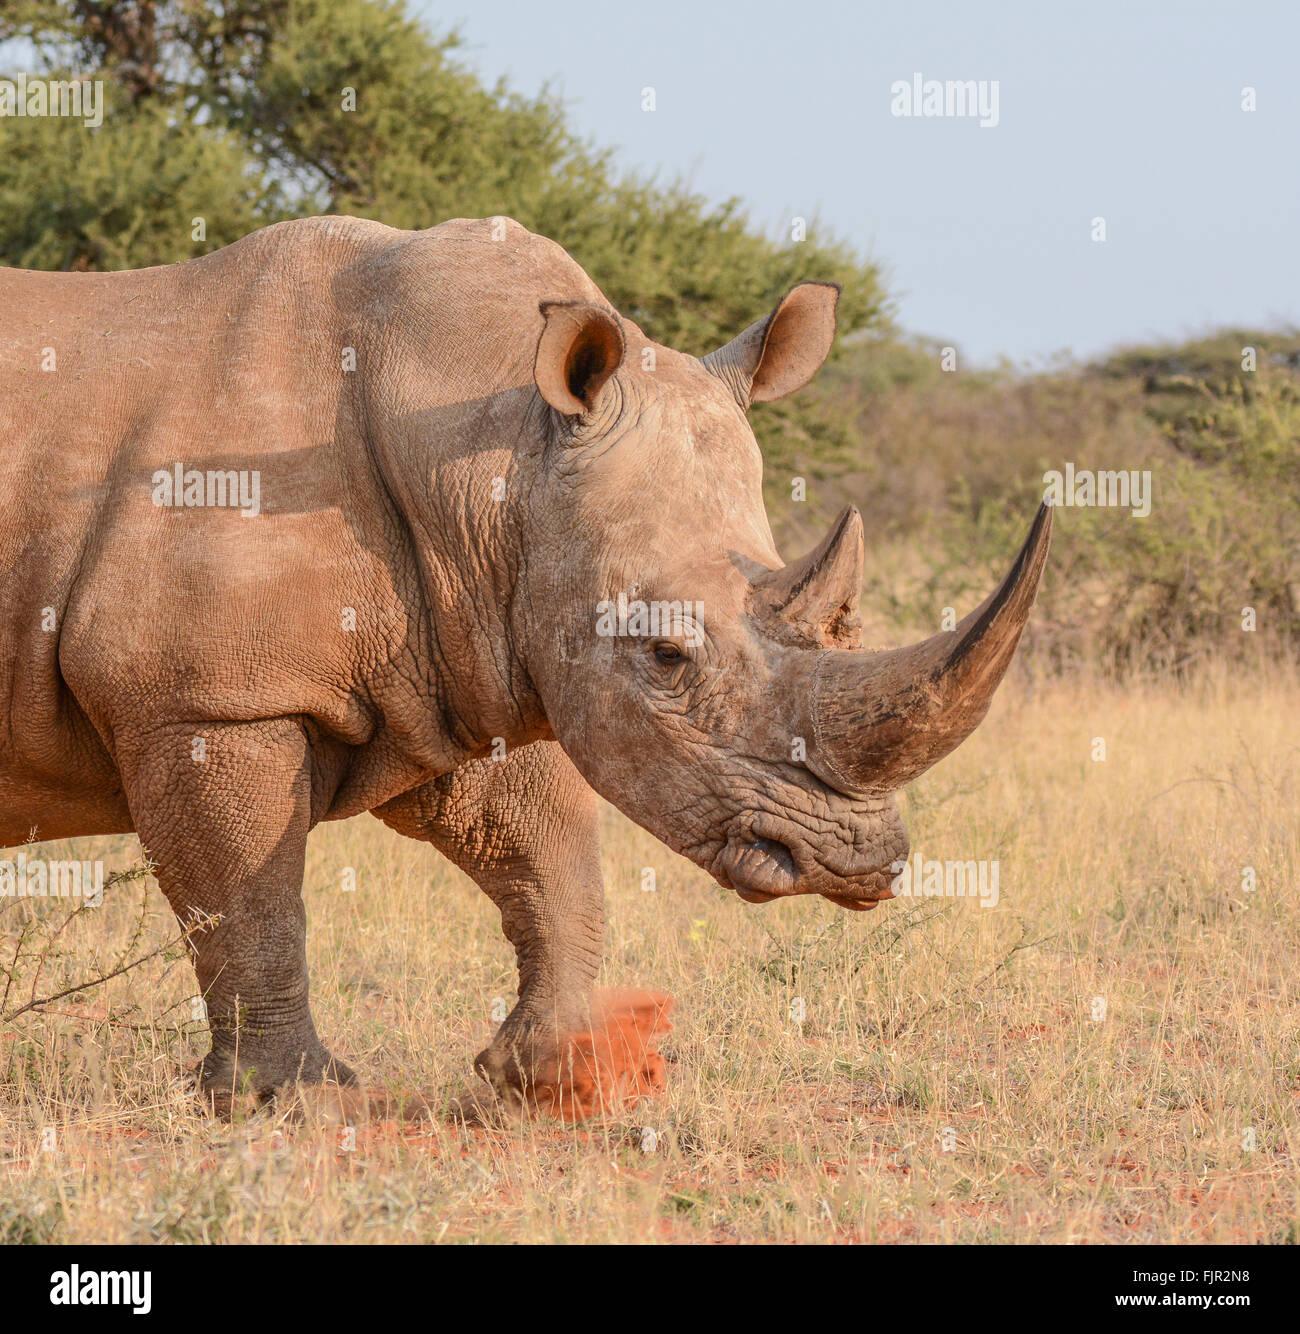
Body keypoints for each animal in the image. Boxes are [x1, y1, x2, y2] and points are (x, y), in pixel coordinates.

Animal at [0, 215, 1050, 1114]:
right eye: (667, 654)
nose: (857, 861)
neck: (491, 457)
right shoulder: (208, 701)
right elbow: (249, 901)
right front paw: (295, 1103)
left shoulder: (477, 650)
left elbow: (550, 853)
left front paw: (564, 1074)